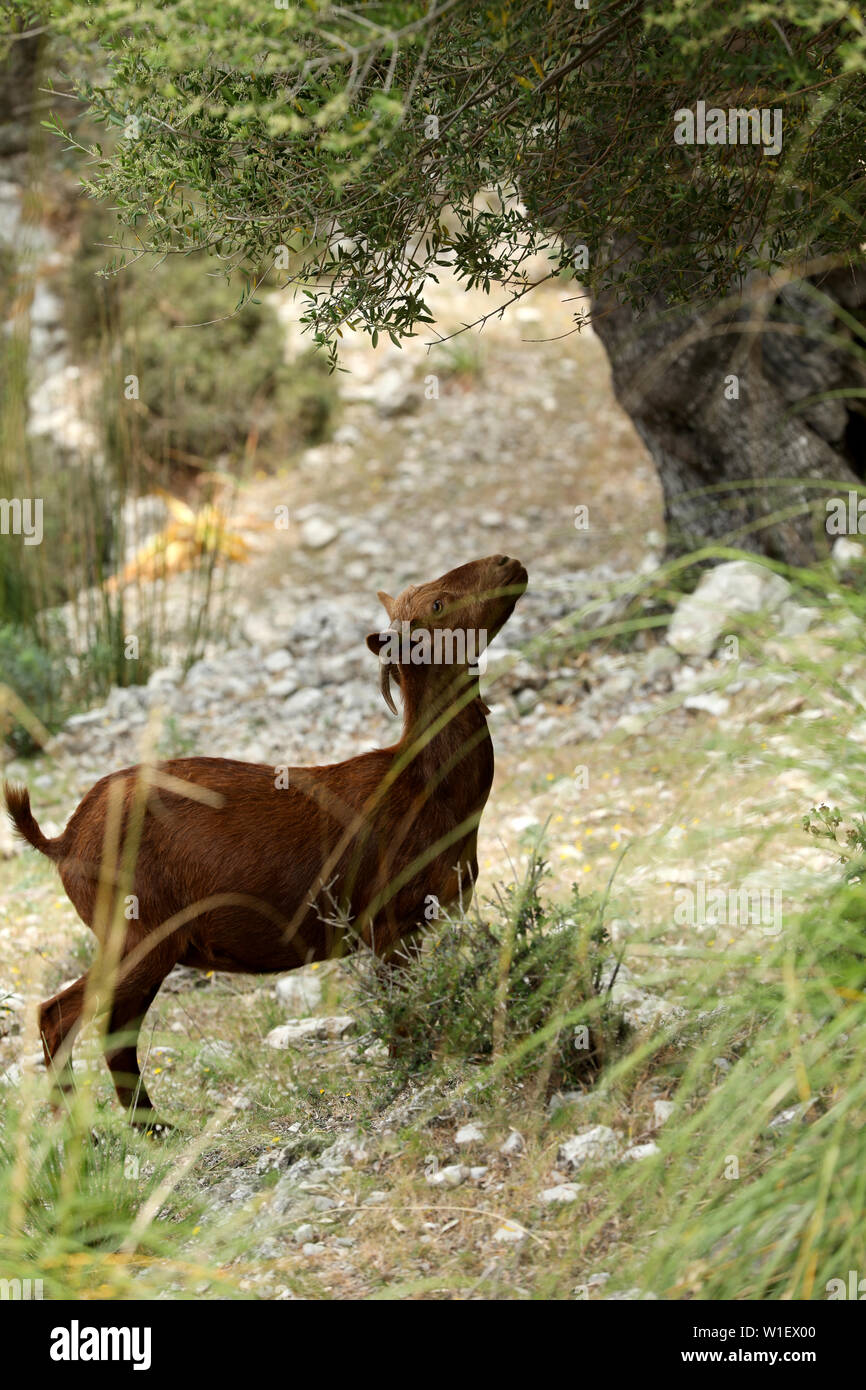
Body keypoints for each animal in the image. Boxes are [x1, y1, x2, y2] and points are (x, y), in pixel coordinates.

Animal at [4, 554, 527, 1129]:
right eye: (437, 604)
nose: (508, 562)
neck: (430, 787)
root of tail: (63, 840)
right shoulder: (388, 922)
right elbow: (404, 1016)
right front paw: (411, 1081)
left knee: (111, 1029)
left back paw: (150, 1130)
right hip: (138, 932)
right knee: (61, 1015)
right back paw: (88, 1131)